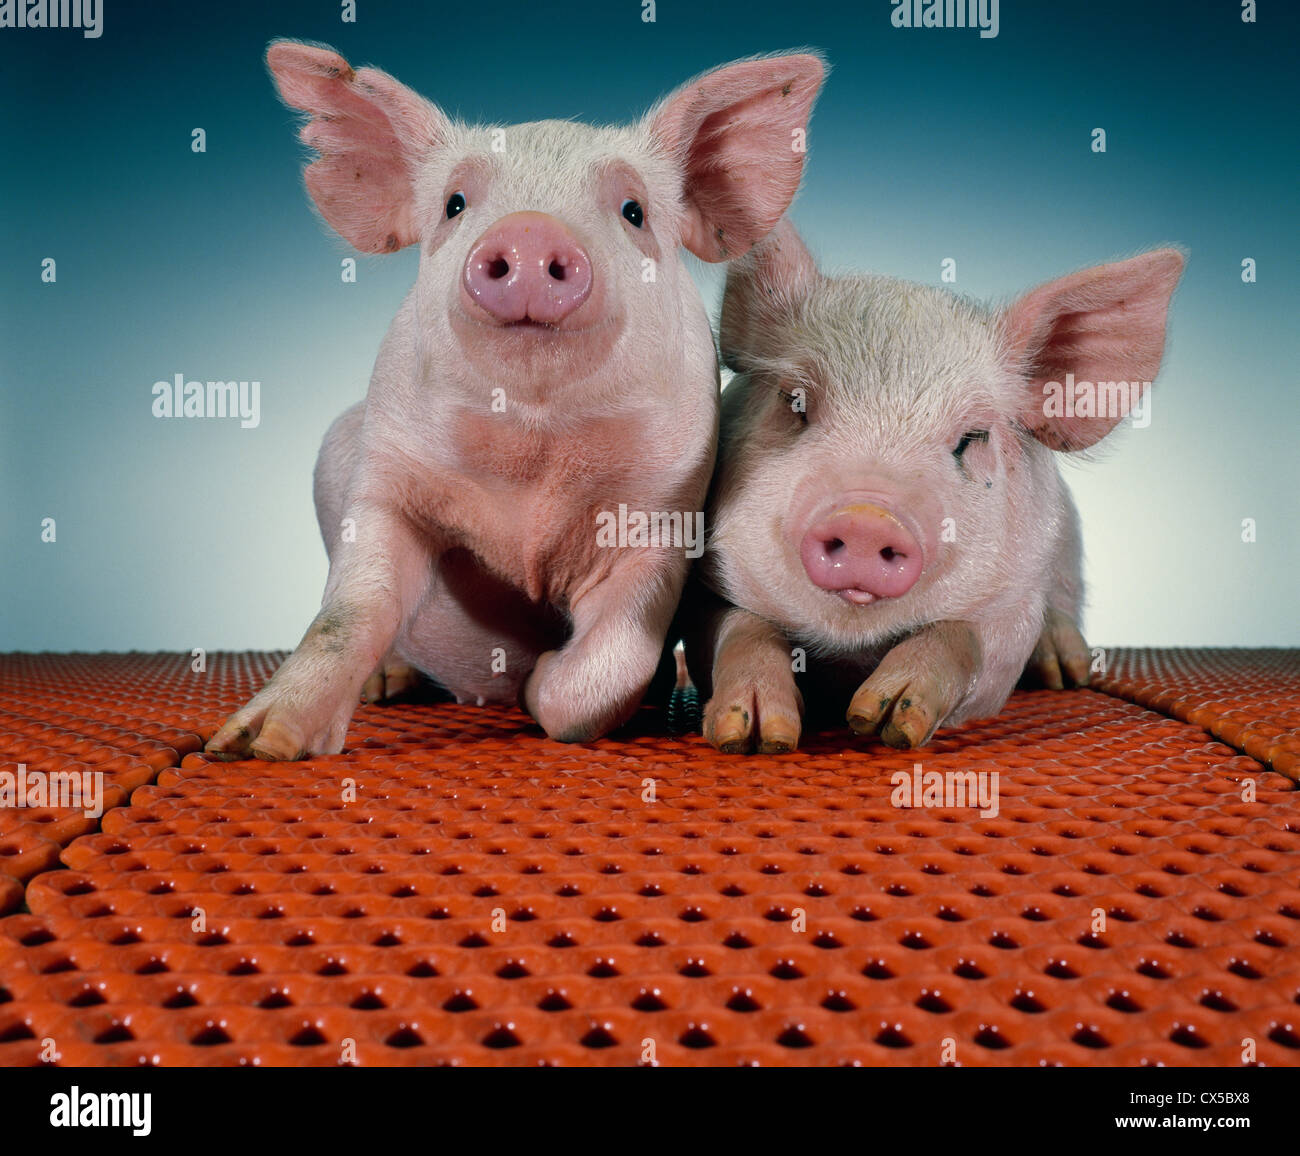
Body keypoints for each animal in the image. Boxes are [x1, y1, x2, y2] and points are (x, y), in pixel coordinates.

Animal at [204, 42, 824, 760]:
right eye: (454, 204)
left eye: (634, 210)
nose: (531, 233)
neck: (533, 449)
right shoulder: (386, 480)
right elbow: (350, 612)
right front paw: (250, 745)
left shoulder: (663, 517)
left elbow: (615, 658)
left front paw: (539, 682)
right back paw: (386, 688)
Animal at [687, 220, 1185, 753]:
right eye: (794, 402)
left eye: (972, 437)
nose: (868, 520)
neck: (848, 651)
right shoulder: (711, 579)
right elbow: (741, 628)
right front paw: (755, 735)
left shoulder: (1014, 604)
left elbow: (967, 640)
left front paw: (885, 719)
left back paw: (1064, 673)